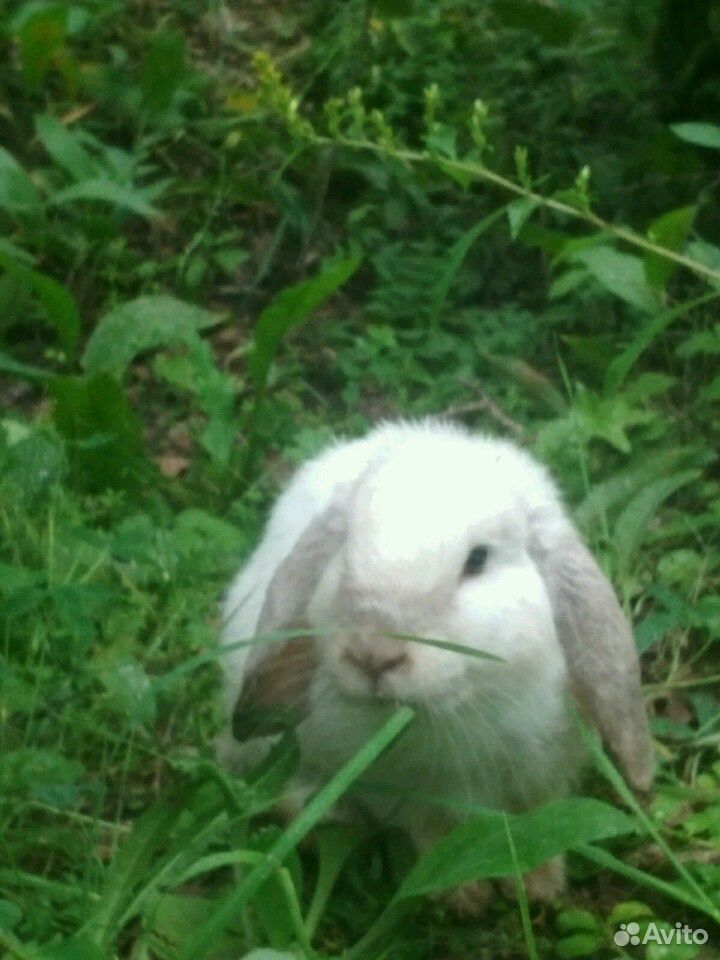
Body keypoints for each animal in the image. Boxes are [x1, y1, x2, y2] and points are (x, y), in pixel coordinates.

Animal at [217, 420, 654, 912]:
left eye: (477, 560)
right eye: (343, 547)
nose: (373, 654)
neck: (458, 708)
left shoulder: (544, 770)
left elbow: (541, 818)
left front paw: (540, 886)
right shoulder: (403, 794)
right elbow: (430, 832)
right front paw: (464, 896)